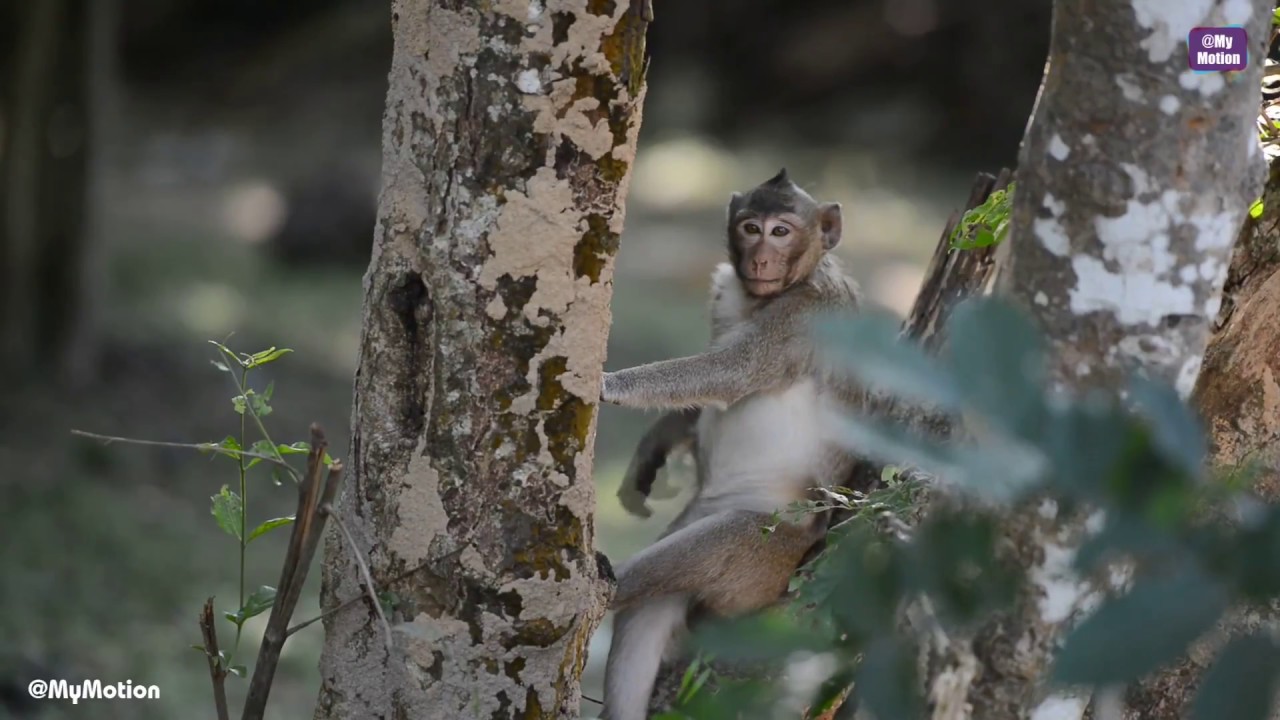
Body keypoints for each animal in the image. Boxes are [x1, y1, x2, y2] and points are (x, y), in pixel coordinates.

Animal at [598, 169, 862, 720]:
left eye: (780, 231)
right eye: (749, 228)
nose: (760, 259)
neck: (765, 297)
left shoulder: (803, 316)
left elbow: (730, 372)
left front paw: (609, 384)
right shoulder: (724, 291)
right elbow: (708, 389)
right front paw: (654, 447)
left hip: (764, 548)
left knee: (677, 563)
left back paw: (603, 589)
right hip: (702, 522)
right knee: (645, 615)